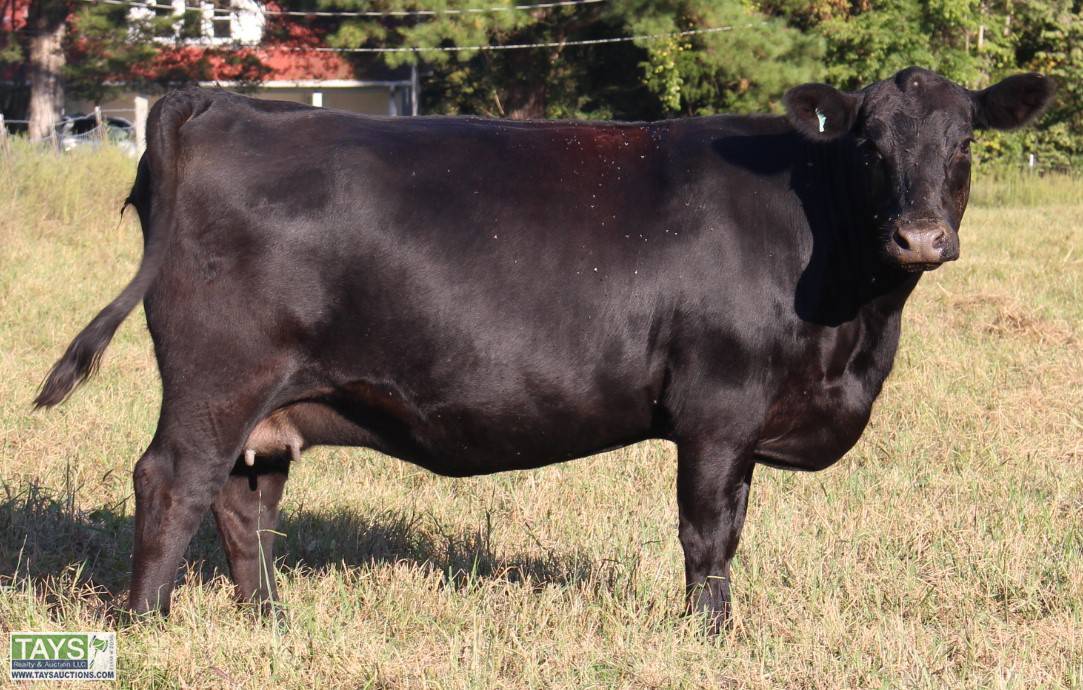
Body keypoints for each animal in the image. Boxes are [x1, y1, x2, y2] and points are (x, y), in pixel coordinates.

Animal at [34, 67, 1053, 631]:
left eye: (965, 141)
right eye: (868, 145)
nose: (919, 237)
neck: (854, 326)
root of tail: (224, 106)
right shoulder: (718, 407)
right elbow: (709, 531)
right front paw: (711, 637)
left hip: (274, 402)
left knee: (245, 502)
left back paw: (271, 624)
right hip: (217, 380)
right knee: (172, 482)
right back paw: (151, 628)